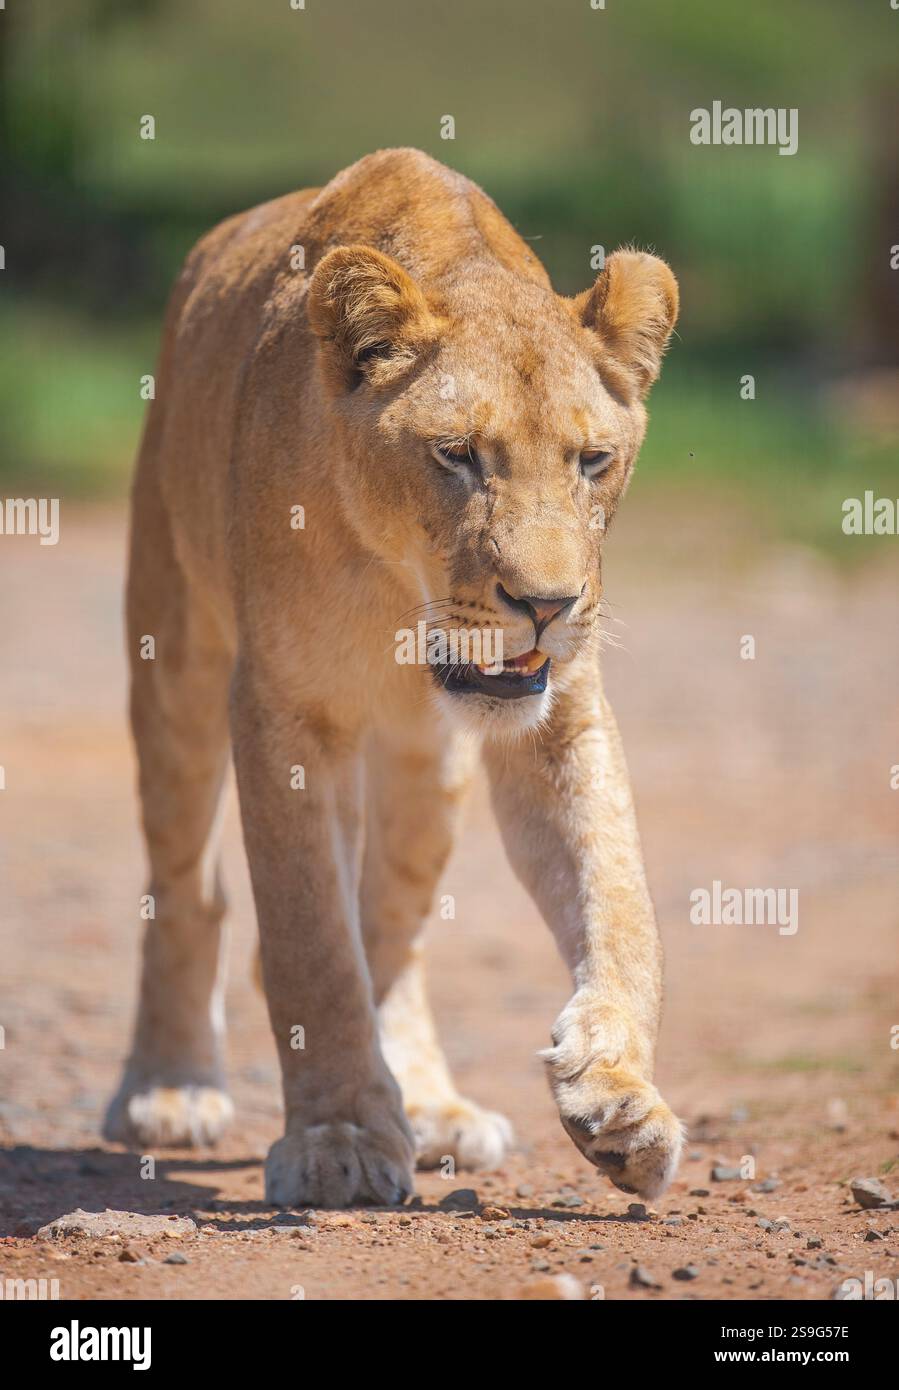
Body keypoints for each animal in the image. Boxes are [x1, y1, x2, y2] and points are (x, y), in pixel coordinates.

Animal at [104, 148, 684, 1207]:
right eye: (455, 456)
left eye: (592, 461)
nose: (545, 603)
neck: (397, 598)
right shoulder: (284, 711)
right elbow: (311, 943)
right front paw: (336, 1136)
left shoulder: (560, 714)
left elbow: (618, 901)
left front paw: (618, 1097)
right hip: (175, 665)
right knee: (185, 889)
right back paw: (168, 1089)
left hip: (428, 773)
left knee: (396, 932)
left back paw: (433, 1105)